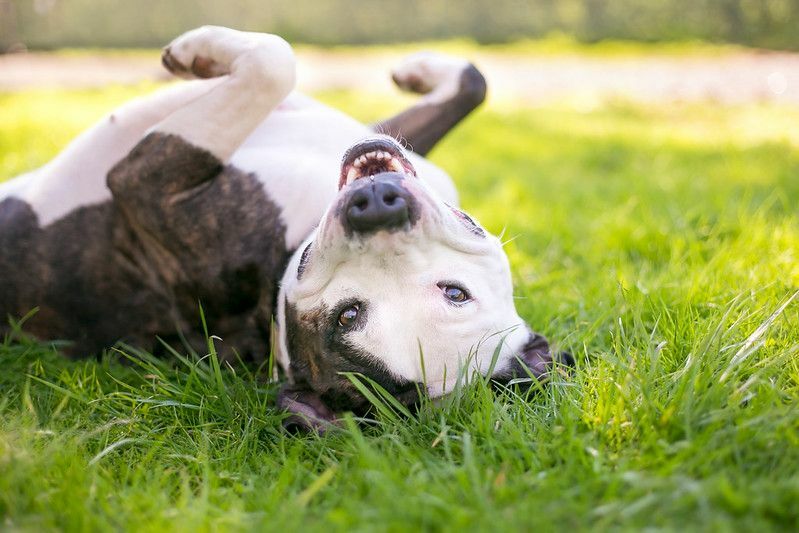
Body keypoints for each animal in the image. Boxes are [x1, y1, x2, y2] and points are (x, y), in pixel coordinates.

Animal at [1, 26, 576, 432]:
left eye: (346, 316)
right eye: (457, 293)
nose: (376, 206)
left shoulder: (145, 181)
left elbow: (273, 63)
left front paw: (195, 54)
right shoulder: (390, 136)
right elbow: (475, 82)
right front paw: (418, 69)